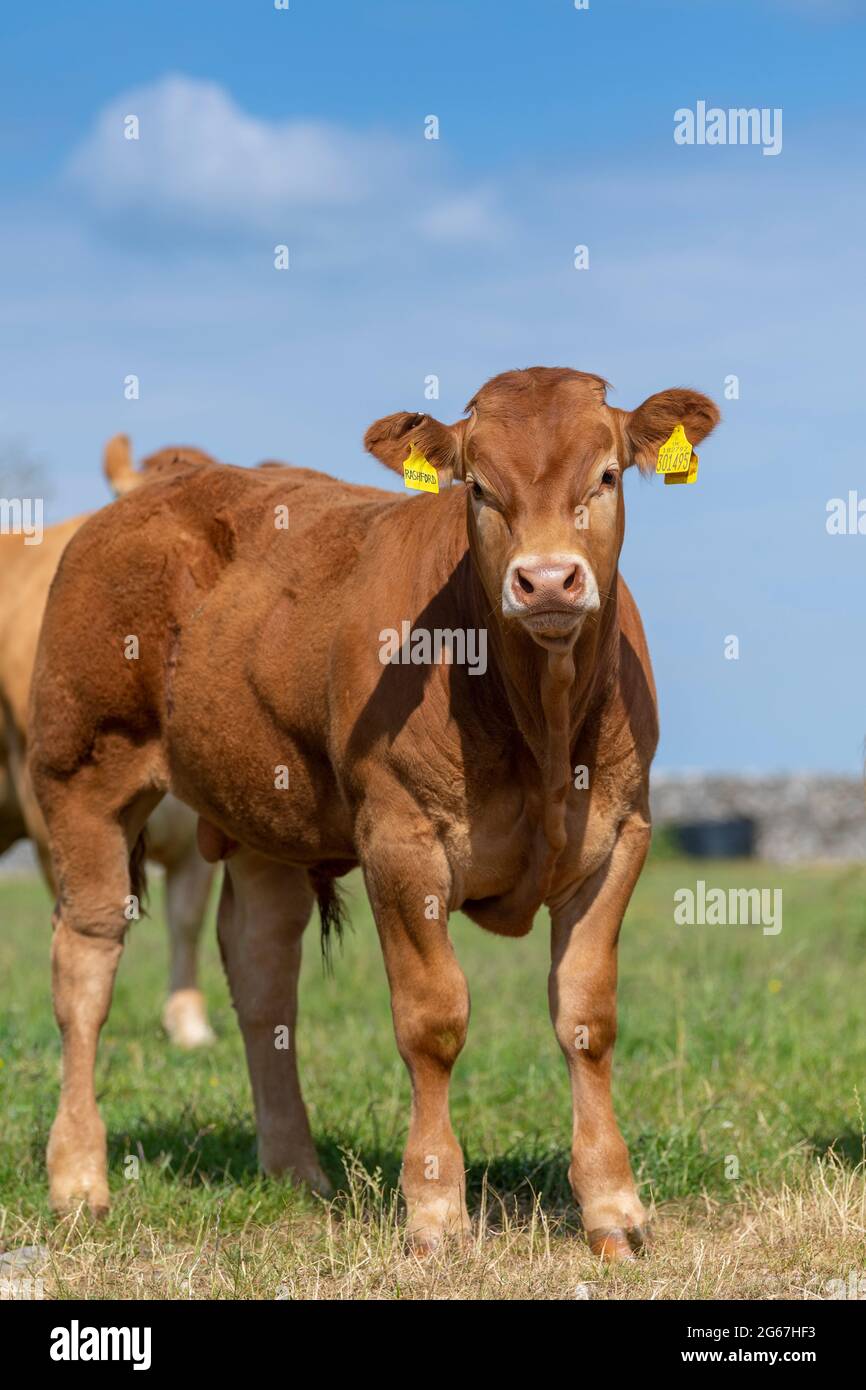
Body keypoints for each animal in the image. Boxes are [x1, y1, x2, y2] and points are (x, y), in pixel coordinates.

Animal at [28, 368, 720, 1257]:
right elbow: (433, 1021)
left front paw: (613, 1208)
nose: (547, 580)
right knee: (85, 968)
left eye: (605, 475)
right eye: (479, 488)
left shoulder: (619, 835)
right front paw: (435, 1212)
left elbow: (587, 1019)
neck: (540, 719)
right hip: (81, 773)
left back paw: (295, 1169)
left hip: (263, 817)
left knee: (263, 976)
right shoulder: (401, 839)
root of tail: (152, 490)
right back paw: (80, 1180)